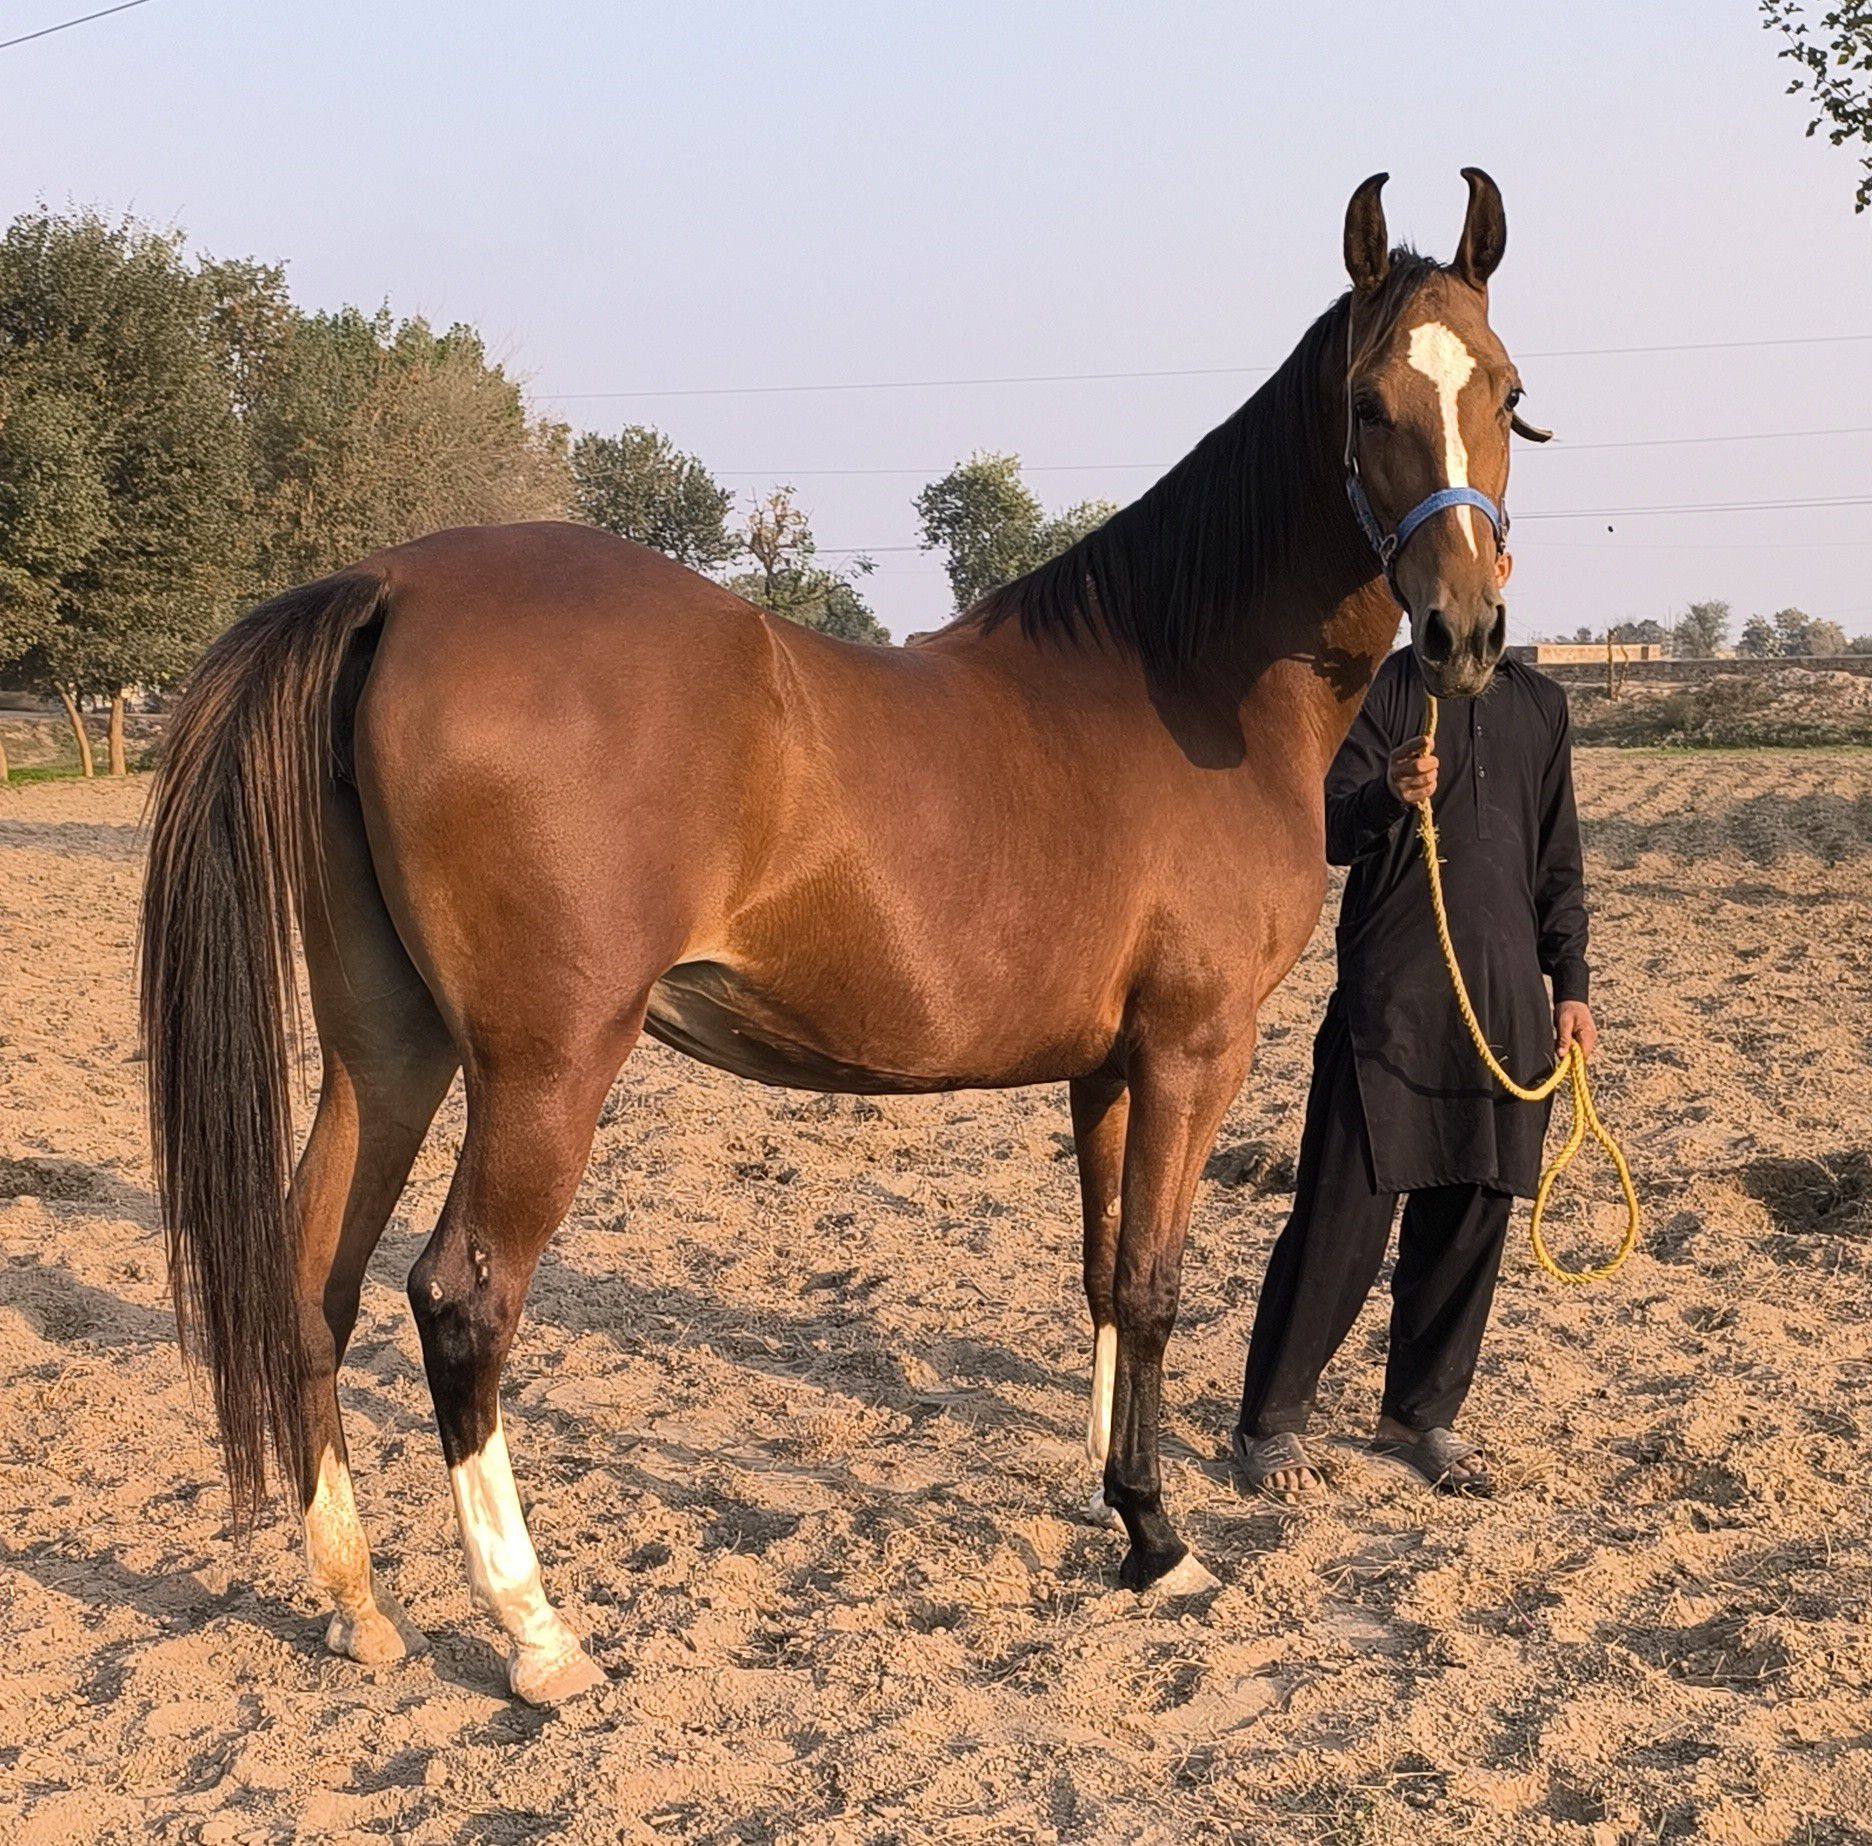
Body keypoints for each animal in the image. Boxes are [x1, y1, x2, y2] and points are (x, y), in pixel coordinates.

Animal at [142, 169, 1540, 1704]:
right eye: (1368, 402)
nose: (1468, 631)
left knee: (309, 1278)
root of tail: (388, 589)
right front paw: (1163, 1541)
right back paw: (537, 1631)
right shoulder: (1191, 1053)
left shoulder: (1107, 1069)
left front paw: (1107, 1497)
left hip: (385, 1053)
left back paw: (356, 1602)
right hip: (544, 1067)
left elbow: (1104, 1278)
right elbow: (1159, 1284)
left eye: (1508, 390)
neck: (1180, 682)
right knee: (461, 1299)